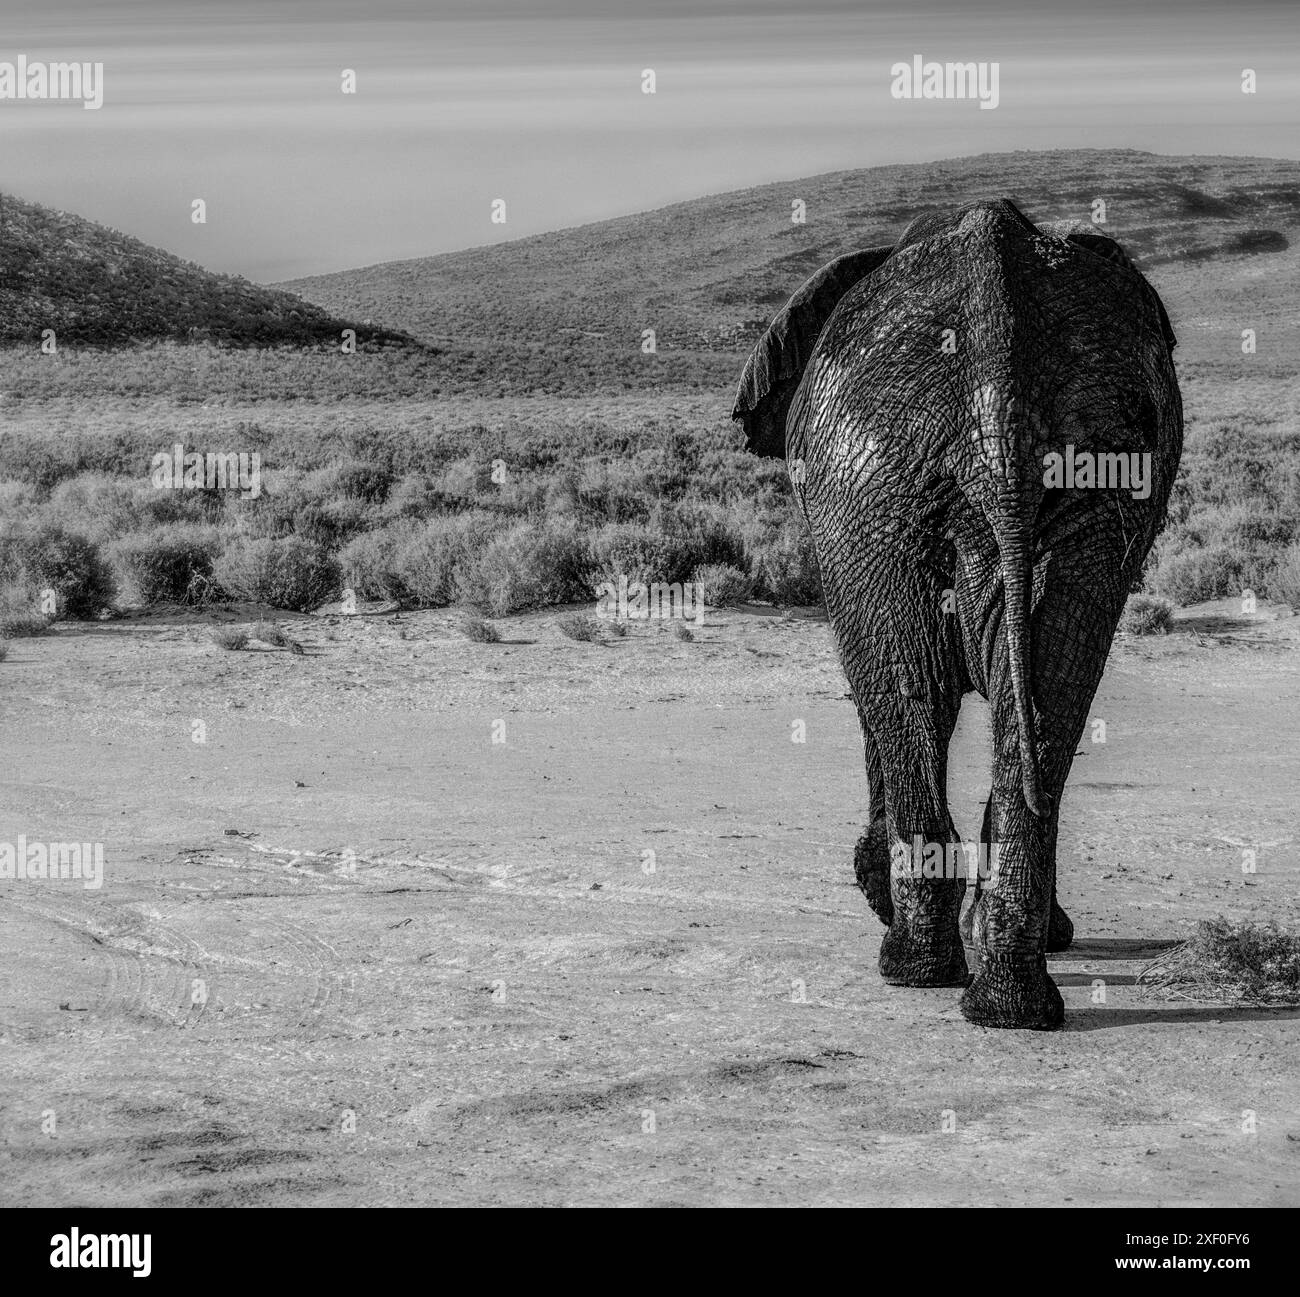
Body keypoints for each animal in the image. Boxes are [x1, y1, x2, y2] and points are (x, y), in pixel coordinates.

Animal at [733, 199, 1182, 1029]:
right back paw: (1010, 1005)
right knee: (1044, 695)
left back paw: (911, 967)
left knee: (907, 694)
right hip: (1085, 475)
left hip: (871, 492)